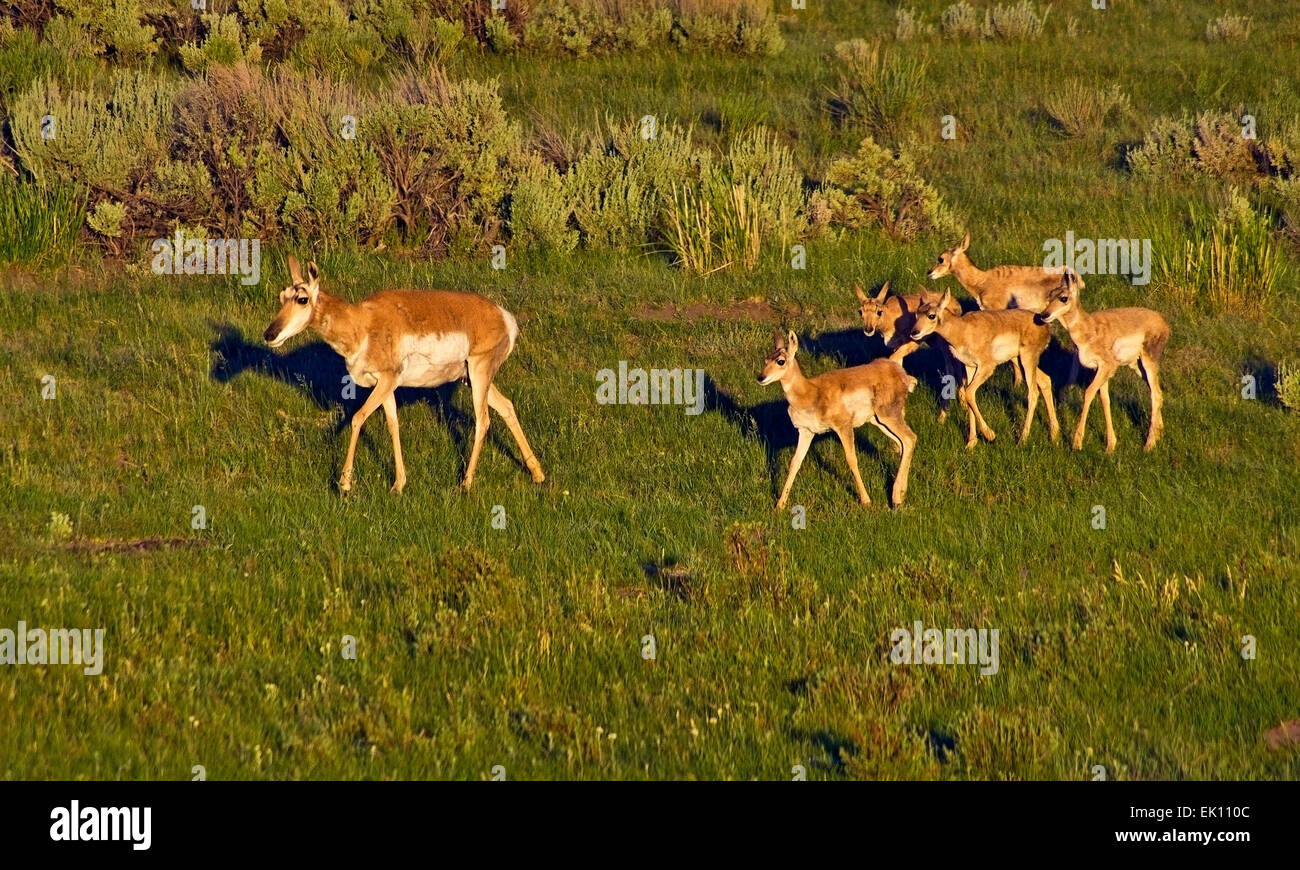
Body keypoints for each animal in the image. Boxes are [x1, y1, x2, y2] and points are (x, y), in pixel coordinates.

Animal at [263, 256, 546, 493]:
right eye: (282, 296)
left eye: (302, 299)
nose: (269, 334)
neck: (362, 323)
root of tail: (504, 316)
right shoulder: (385, 385)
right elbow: (393, 424)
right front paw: (398, 484)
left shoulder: (387, 380)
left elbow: (357, 417)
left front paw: (344, 484)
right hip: (471, 378)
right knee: (506, 406)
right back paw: (537, 474)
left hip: (479, 373)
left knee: (483, 420)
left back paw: (465, 484)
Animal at [757, 329, 917, 511]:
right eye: (766, 359)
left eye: (781, 361)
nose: (760, 377)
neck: (811, 392)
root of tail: (894, 366)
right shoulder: (806, 431)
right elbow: (795, 462)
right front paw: (779, 505)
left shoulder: (843, 426)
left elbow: (851, 459)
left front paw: (866, 500)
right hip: (879, 420)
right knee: (901, 444)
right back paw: (901, 493)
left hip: (889, 415)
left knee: (910, 439)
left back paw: (896, 499)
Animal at [855, 280, 962, 421]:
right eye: (860, 311)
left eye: (879, 311)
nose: (868, 329)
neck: (890, 316)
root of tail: (956, 303)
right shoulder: (897, 346)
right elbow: (897, 362)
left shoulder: (912, 342)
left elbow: (892, 358)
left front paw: (912, 382)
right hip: (935, 341)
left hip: (943, 342)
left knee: (951, 366)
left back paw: (945, 414)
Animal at [909, 289, 1060, 449]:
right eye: (917, 314)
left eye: (931, 315)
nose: (914, 332)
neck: (963, 329)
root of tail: (1045, 326)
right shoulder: (970, 367)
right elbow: (968, 396)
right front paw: (971, 443)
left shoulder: (987, 366)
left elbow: (969, 393)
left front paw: (990, 435)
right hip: (1021, 361)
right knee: (1045, 380)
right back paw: (1054, 436)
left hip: (1027, 360)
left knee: (1033, 393)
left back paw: (1022, 440)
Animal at [1038, 270, 1169, 452]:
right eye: (1049, 296)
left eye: (1063, 298)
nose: (1044, 315)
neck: (1088, 328)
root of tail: (1163, 321)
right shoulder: (1101, 370)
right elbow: (1105, 400)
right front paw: (1110, 446)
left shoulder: (1107, 366)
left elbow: (1089, 393)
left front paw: (1077, 442)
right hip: (1138, 367)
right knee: (1156, 392)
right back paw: (1159, 434)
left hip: (1148, 362)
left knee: (1156, 394)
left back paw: (1148, 445)